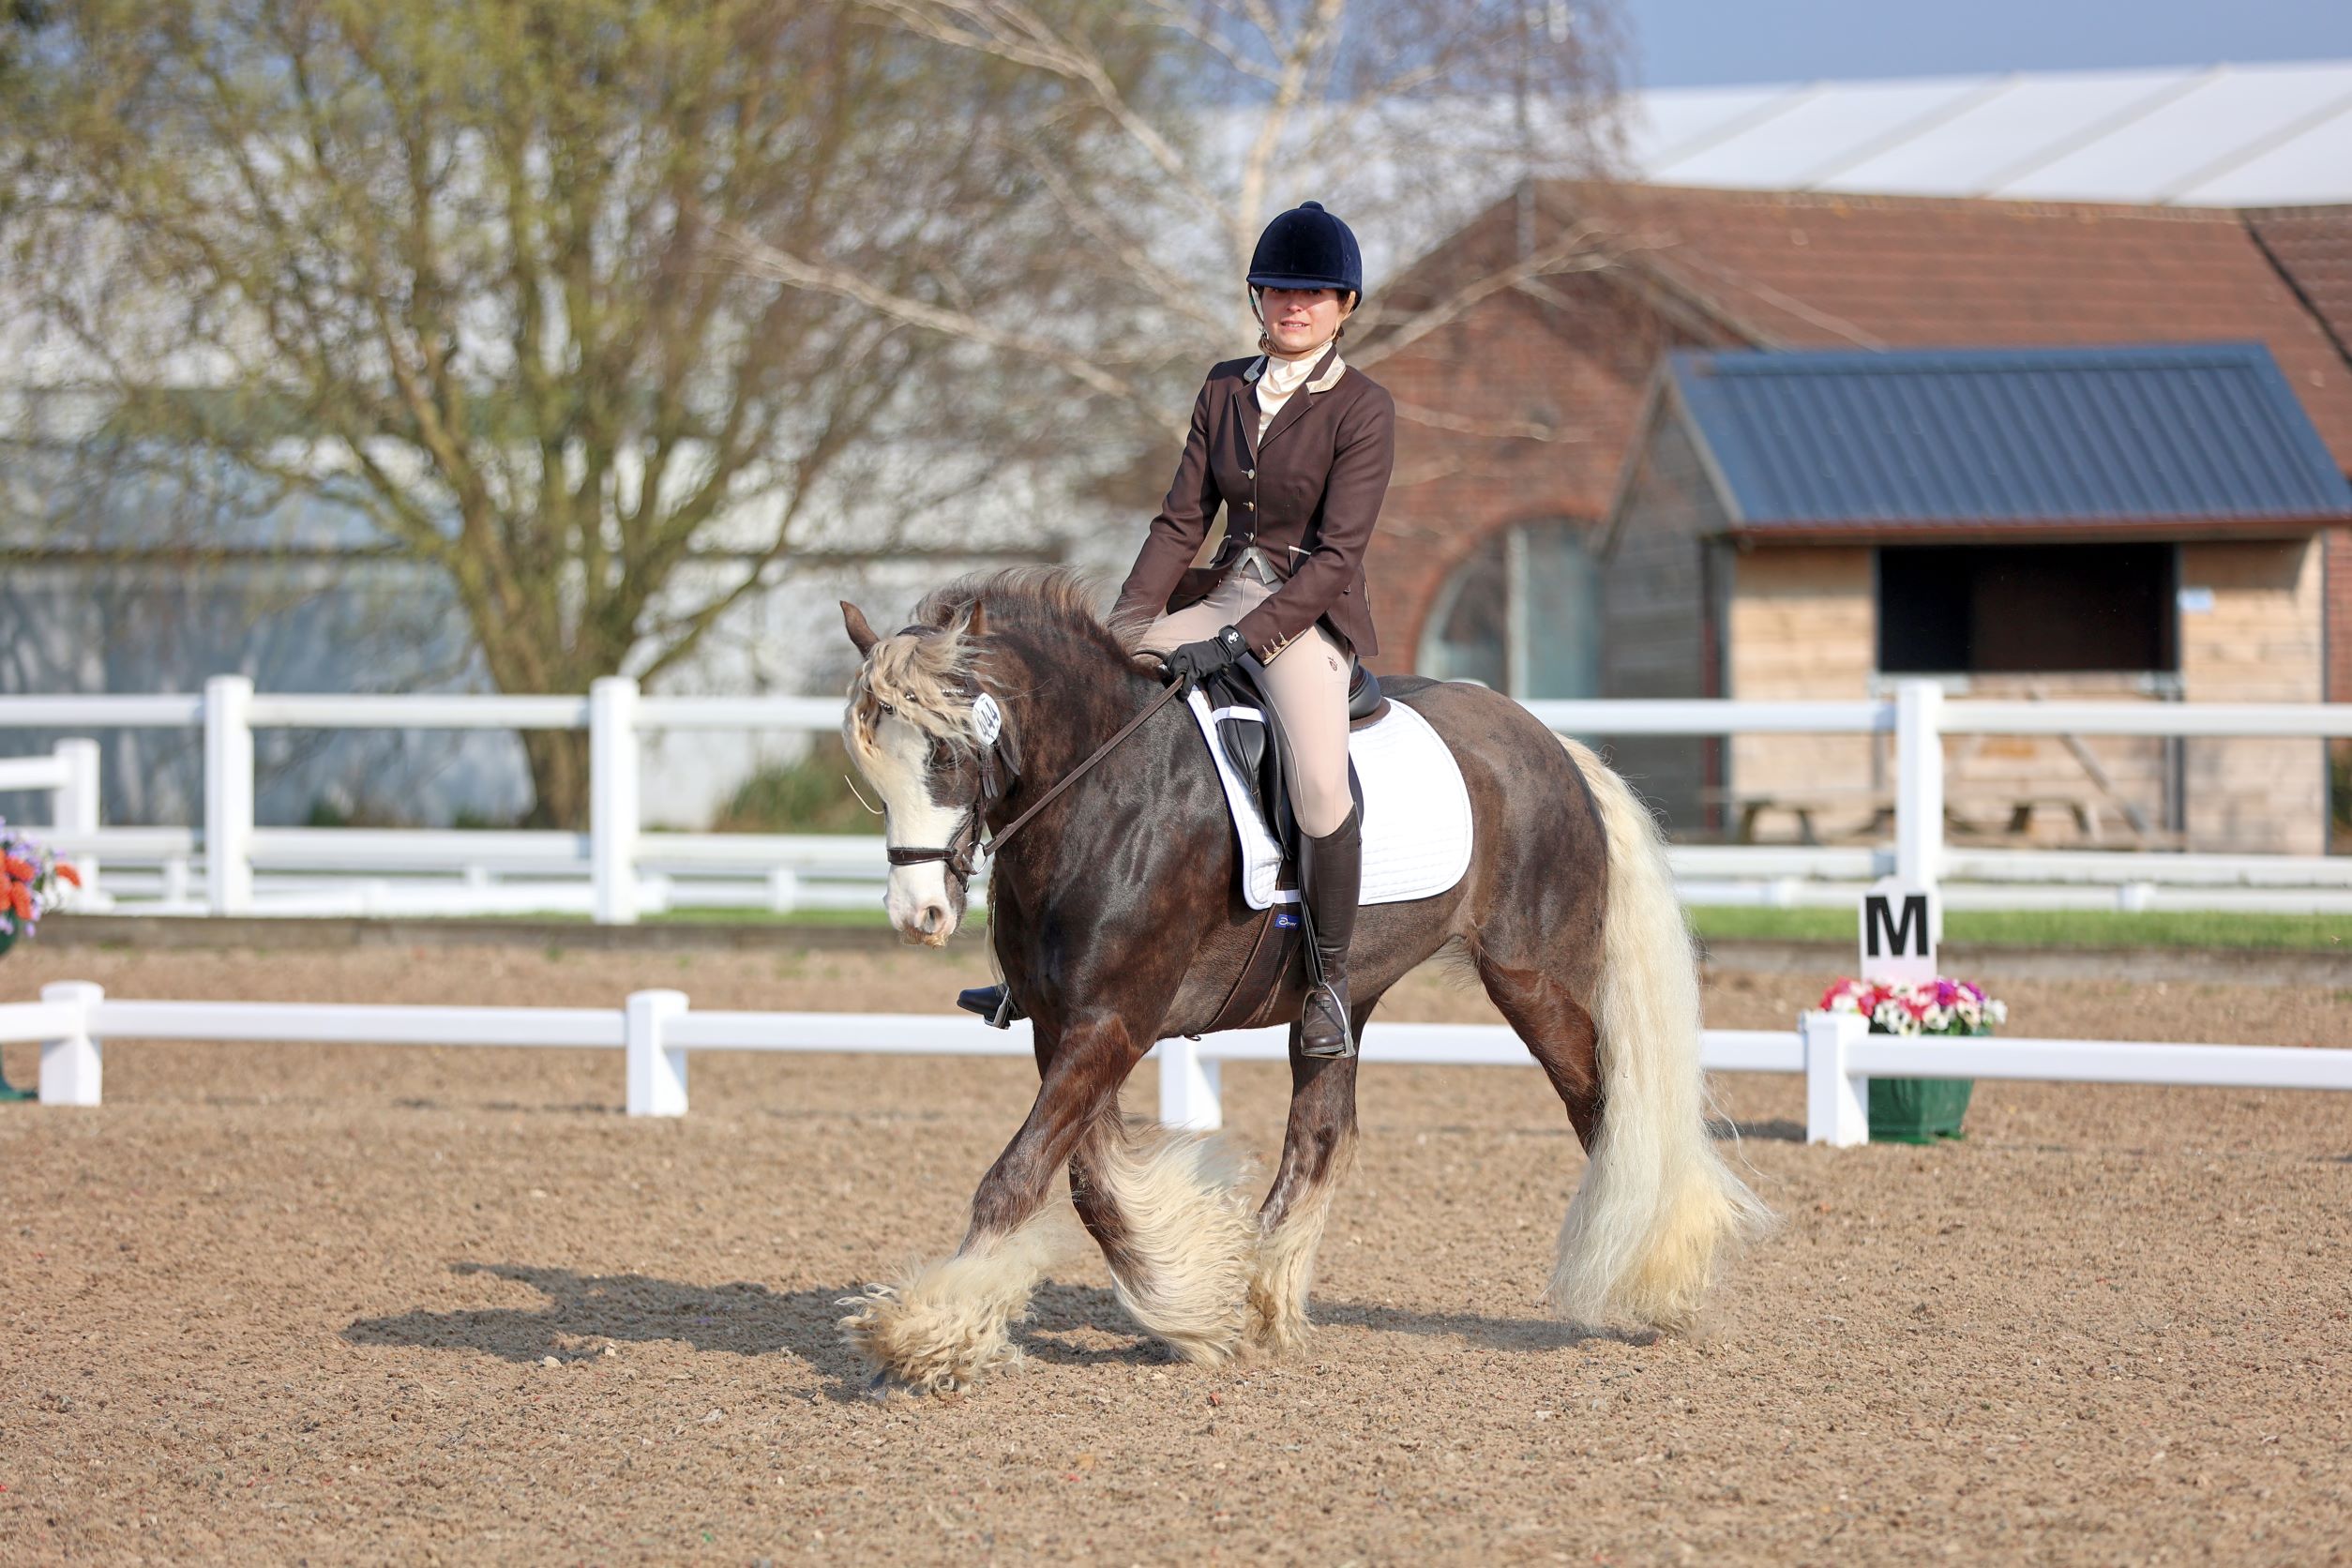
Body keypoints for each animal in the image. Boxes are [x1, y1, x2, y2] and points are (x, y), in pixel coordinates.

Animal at [835, 568, 1767, 1392]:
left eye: (950, 751)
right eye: (877, 768)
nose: (918, 914)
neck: (1106, 792)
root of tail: (1550, 744)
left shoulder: (1111, 1024)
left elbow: (1019, 1175)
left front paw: (927, 1333)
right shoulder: (1062, 1025)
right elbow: (1088, 1183)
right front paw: (1191, 1305)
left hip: (1536, 982)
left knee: (1601, 1107)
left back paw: (1659, 1277)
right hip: (1346, 995)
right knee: (1323, 1135)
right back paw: (1264, 1302)